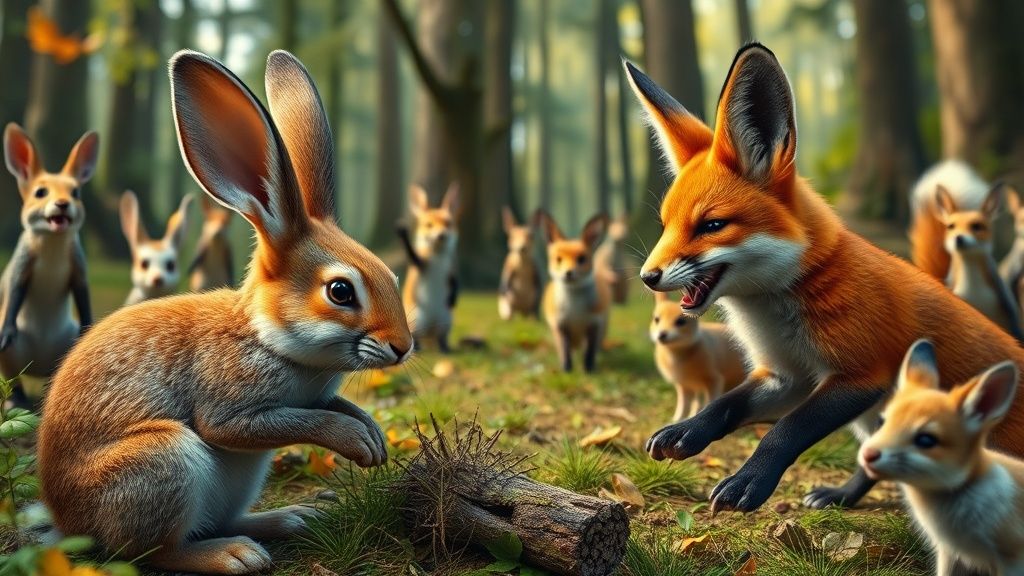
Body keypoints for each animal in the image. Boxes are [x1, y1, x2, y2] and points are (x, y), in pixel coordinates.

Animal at [0, 123, 97, 407]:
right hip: (11, 357)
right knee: (13, 379)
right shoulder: (22, 262)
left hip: (66, 342)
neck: (53, 244)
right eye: (40, 192)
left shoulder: (78, 265)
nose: (63, 204)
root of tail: (37, 365)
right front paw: (7, 331)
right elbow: (16, 289)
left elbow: (82, 292)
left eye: (75, 192)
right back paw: (16, 401)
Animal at [37, 50, 413, 575]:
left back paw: (292, 518)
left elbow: (336, 405)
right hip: (164, 460)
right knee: (153, 549)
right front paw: (357, 441)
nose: (403, 347)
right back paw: (233, 554)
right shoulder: (229, 408)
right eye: (340, 291)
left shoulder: (317, 394)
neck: (267, 334)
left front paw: (373, 436)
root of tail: (68, 522)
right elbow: (283, 422)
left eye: (392, 278)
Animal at [398, 183, 459, 352]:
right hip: (418, 320)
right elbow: (412, 254)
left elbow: (455, 282)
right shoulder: (421, 264)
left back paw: (447, 349)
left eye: (448, 223)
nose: (442, 235)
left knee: (441, 339)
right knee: (416, 339)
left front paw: (453, 299)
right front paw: (402, 232)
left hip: (446, 320)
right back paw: (419, 348)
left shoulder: (450, 270)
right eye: (429, 225)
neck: (437, 257)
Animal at [540, 211, 609, 373]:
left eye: (581, 259)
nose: (568, 273)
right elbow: (564, 350)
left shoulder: (595, 323)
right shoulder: (559, 324)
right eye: (559, 259)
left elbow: (590, 351)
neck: (575, 312)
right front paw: (566, 369)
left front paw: (589, 369)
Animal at [650, 291, 747, 421]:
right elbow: (684, 406)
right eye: (656, 319)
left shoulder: (714, 380)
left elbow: (709, 402)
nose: (662, 335)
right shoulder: (684, 386)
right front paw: (676, 420)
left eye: (680, 322)